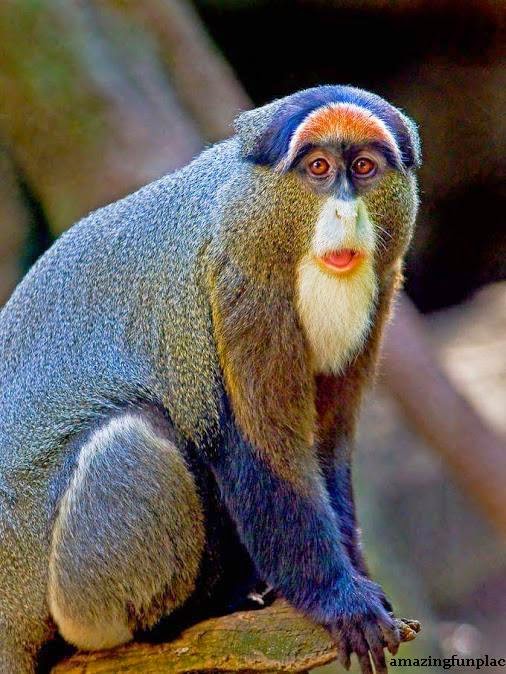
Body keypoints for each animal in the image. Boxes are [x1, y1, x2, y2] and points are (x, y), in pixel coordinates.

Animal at [0, 85, 421, 674]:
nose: (345, 210)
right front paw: (343, 602)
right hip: (71, 594)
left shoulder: (383, 282)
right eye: (318, 167)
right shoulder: (240, 284)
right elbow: (265, 451)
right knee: (131, 436)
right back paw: (180, 616)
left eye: (363, 167)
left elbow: (327, 448)